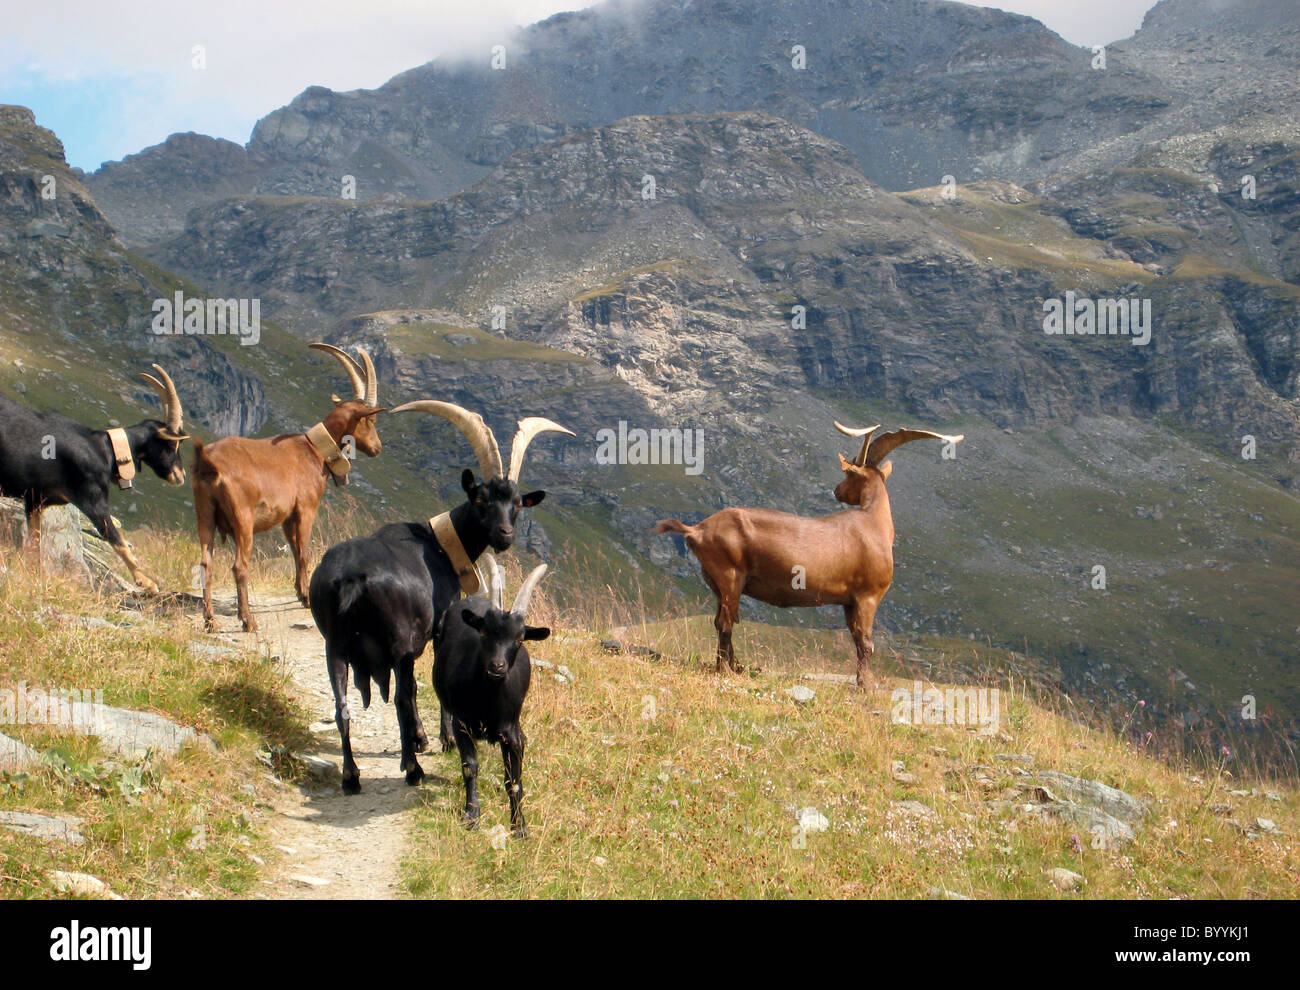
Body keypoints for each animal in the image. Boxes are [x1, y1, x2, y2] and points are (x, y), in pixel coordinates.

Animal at [0, 365, 188, 592]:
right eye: (172, 444)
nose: (181, 475)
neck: (106, 450)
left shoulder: (35, 501)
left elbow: (35, 541)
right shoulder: (93, 500)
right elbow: (116, 538)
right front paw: (146, 581)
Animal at [192, 343, 383, 632]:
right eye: (370, 421)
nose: (377, 448)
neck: (314, 450)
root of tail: (208, 461)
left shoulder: (285, 517)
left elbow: (293, 550)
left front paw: (301, 593)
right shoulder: (305, 509)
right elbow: (303, 552)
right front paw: (308, 599)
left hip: (205, 514)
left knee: (206, 563)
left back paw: (210, 620)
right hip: (242, 518)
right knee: (239, 566)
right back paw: (247, 620)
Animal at [309, 400, 573, 794]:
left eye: (517, 504)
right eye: (480, 498)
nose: (505, 535)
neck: (439, 544)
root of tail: (351, 579)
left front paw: (420, 738)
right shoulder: (440, 624)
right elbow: (430, 686)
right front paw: (440, 738)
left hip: (335, 644)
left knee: (342, 702)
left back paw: (351, 775)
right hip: (397, 642)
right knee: (402, 696)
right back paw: (412, 769)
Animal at [434, 556, 549, 836]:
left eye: (519, 639)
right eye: (485, 632)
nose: (497, 667)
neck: (488, 703)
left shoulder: (512, 733)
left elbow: (514, 780)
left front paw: (519, 826)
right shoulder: (463, 724)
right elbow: (470, 767)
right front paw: (471, 815)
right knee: (443, 706)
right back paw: (446, 739)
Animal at [654, 422, 962, 688]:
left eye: (848, 475)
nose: (837, 490)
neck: (873, 523)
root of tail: (697, 529)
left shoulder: (849, 602)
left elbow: (856, 639)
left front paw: (861, 681)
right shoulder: (868, 596)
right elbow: (866, 643)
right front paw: (866, 686)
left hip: (718, 583)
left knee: (721, 620)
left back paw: (734, 665)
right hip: (729, 575)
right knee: (725, 623)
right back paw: (726, 669)